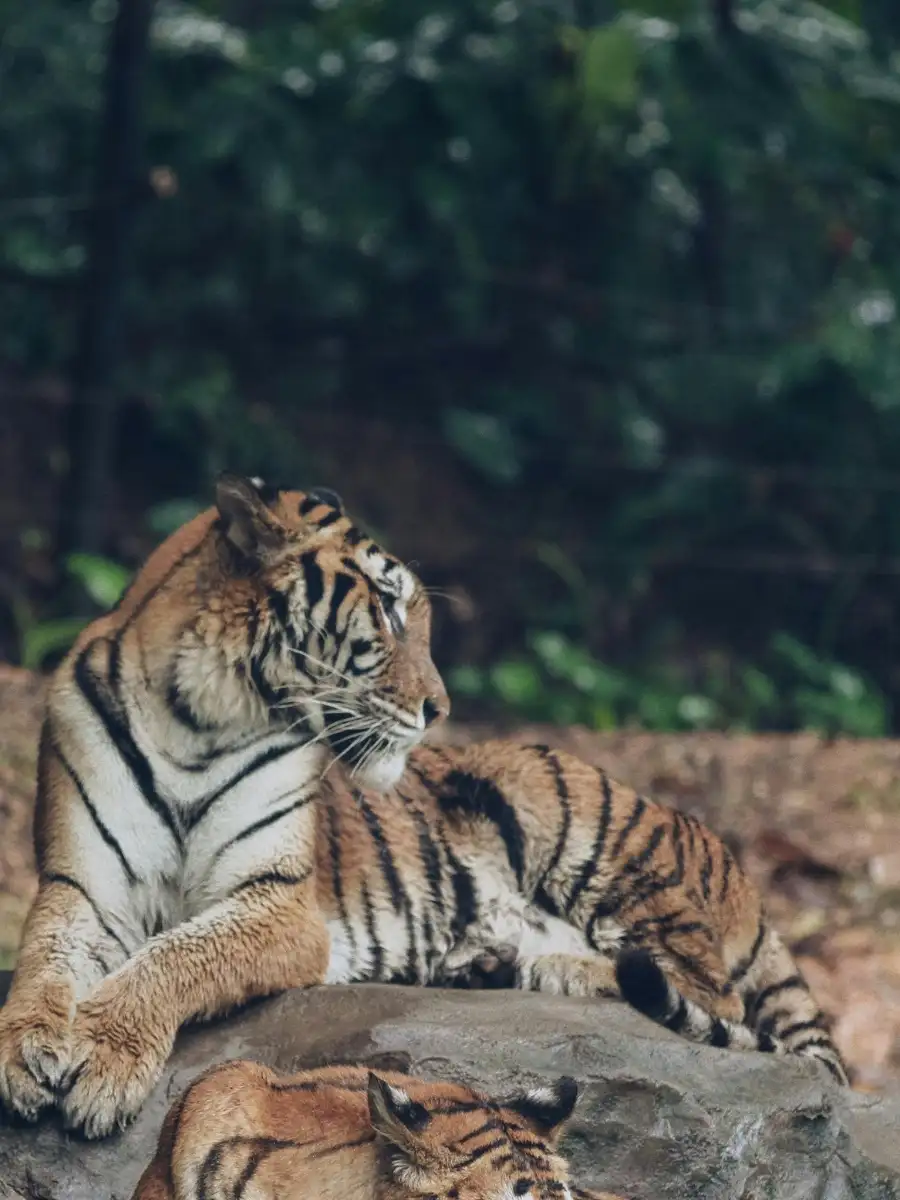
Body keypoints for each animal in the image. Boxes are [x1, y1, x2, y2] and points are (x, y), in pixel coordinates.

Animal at [0, 476, 846, 1144]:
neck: (198, 717)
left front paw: (103, 1066)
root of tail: (724, 852)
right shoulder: (82, 884)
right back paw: (486, 963)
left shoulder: (279, 903)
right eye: (386, 608)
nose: (440, 709)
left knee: (703, 989)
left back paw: (547, 968)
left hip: (585, 831)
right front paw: (26, 1052)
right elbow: (45, 960)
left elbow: (172, 957)